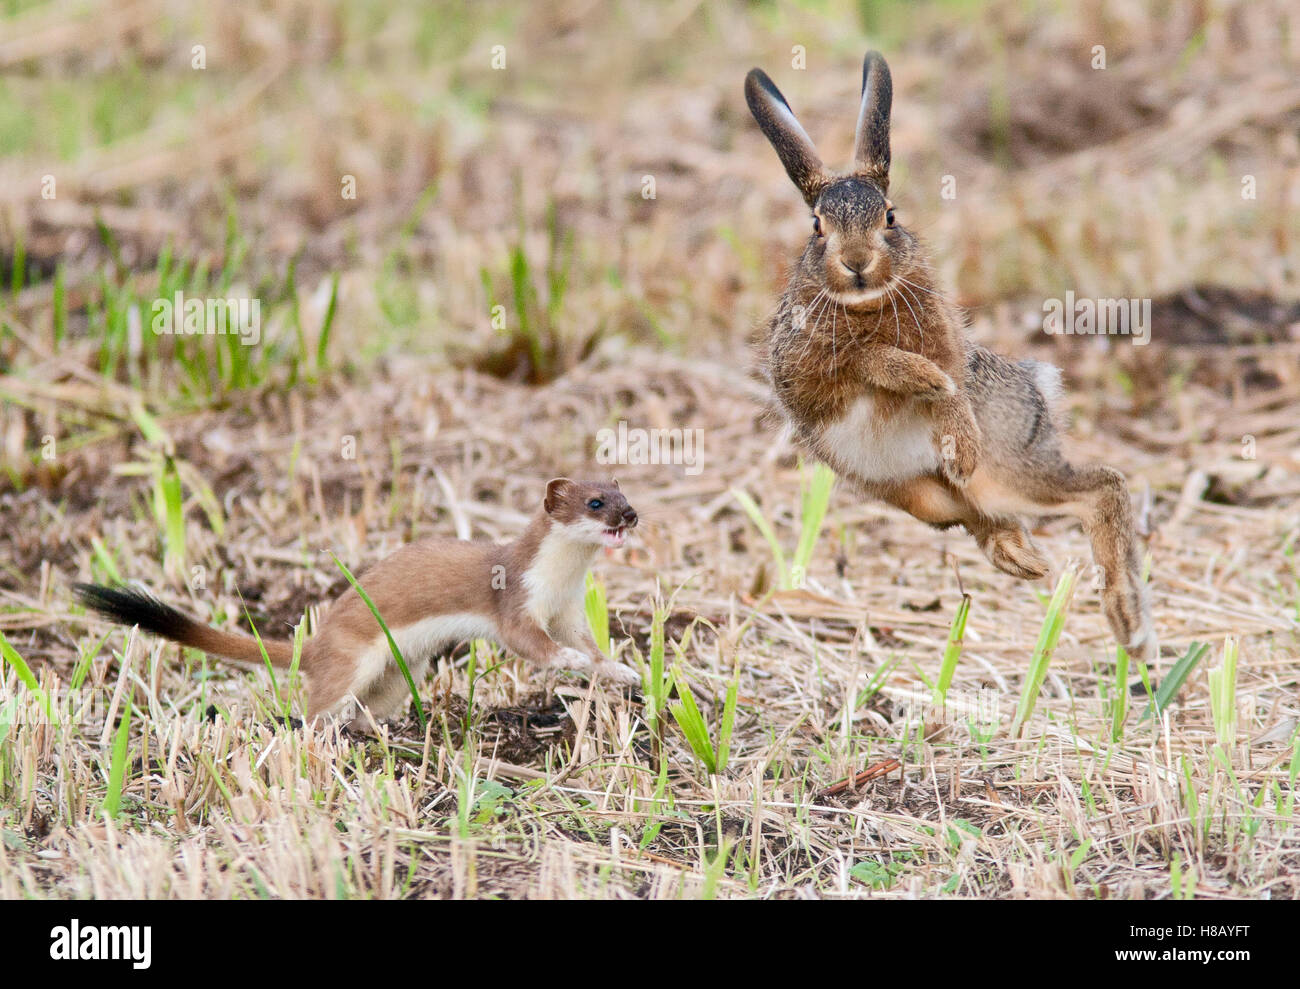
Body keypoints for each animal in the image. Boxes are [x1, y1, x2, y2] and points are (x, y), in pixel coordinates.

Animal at [744, 51, 1156, 664]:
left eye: (890, 217)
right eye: (817, 227)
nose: (857, 262)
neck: (866, 304)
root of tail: (1038, 389)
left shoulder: (945, 348)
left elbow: (944, 382)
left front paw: (947, 419)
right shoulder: (809, 376)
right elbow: (869, 360)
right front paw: (920, 377)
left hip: (1005, 469)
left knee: (1102, 487)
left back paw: (1128, 622)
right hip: (922, 498)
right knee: (979, 517)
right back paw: (1023, 559)